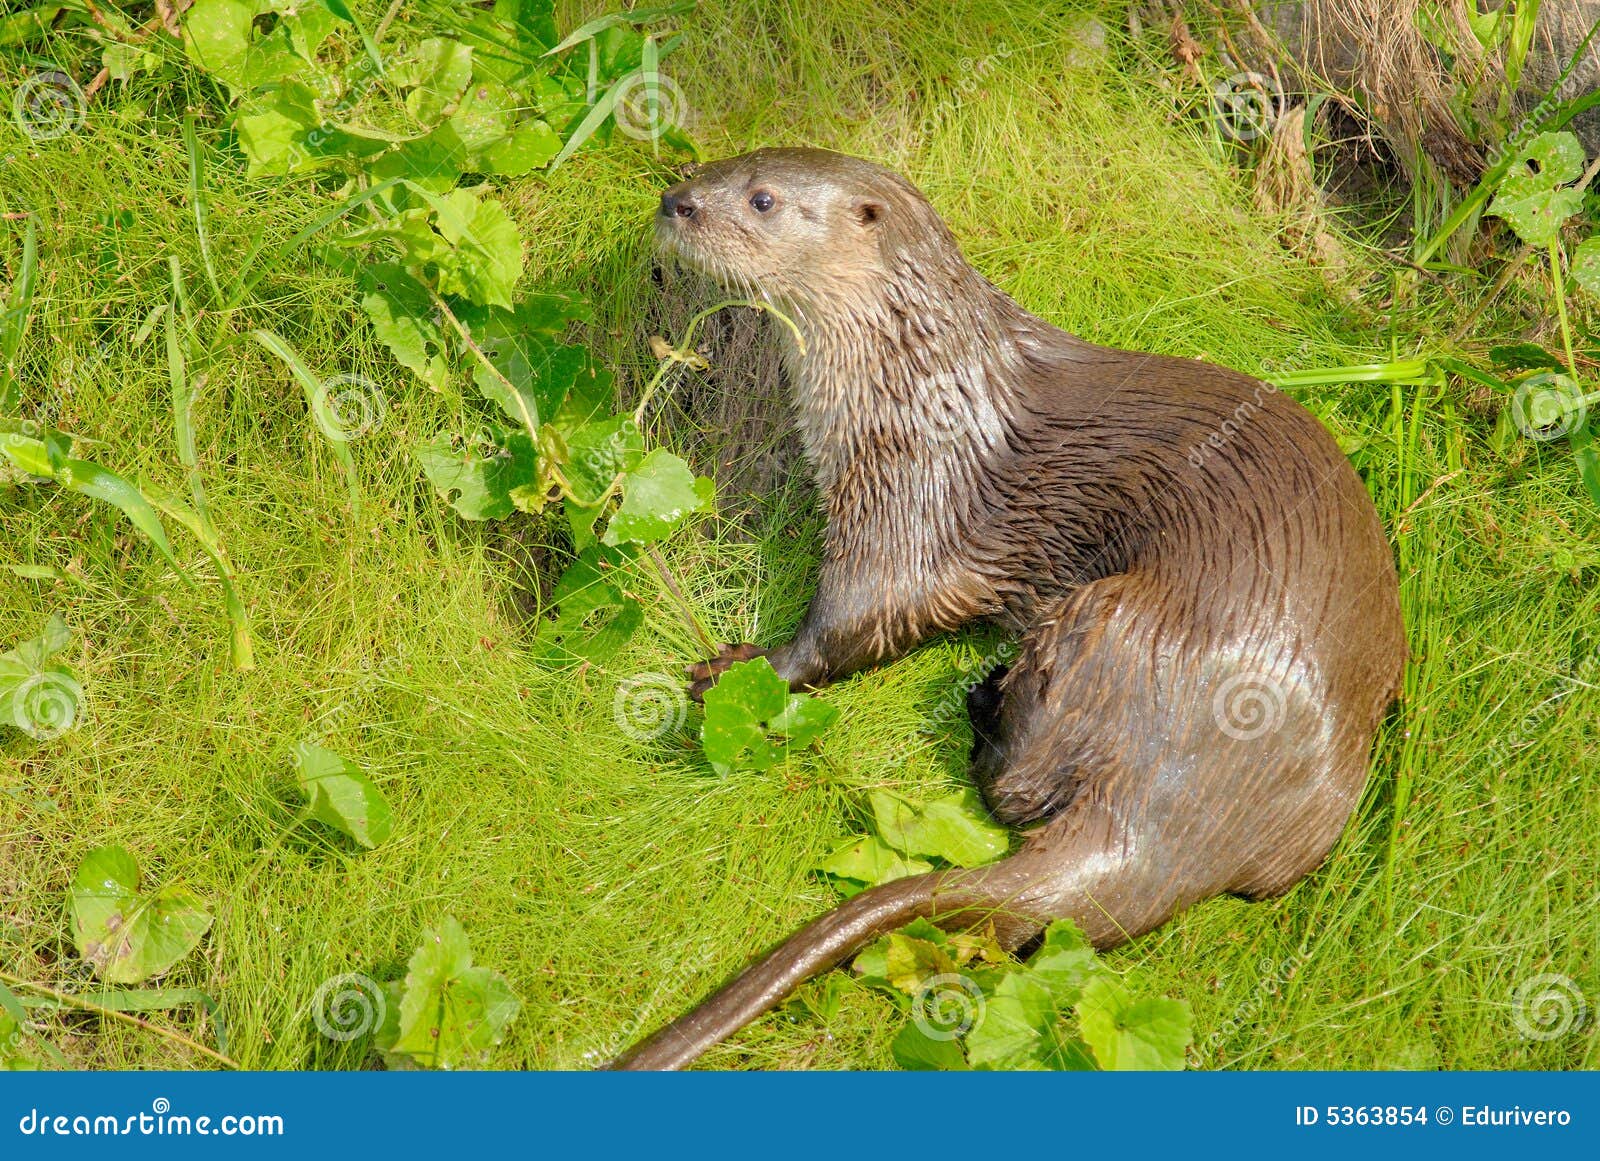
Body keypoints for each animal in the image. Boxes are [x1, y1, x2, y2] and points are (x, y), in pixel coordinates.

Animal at [611, 148, 1405, 1070]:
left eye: (762, 199)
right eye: (720, 162)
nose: (675, 201)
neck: (909, 385)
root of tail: (1173, 814)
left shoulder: (907, 498)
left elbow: (859, 620)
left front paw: (741, 669)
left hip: (1103, 619)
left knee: (1012, 785)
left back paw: (984, 705)